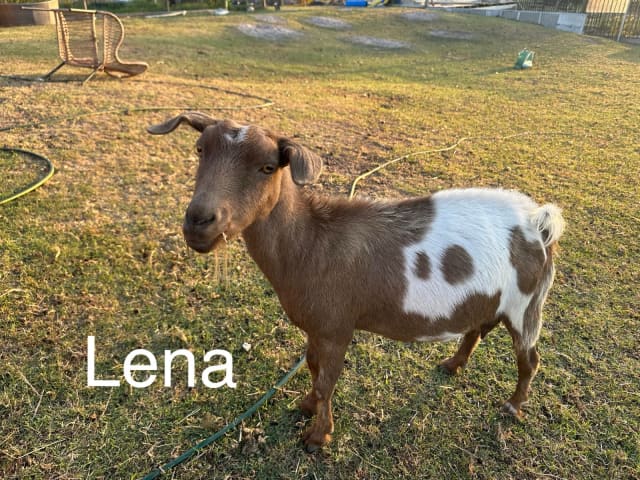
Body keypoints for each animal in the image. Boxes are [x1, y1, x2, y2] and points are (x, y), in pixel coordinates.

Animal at [148, 112, 566, 452]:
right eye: (200, 149)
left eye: (267, 167)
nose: (200, 221)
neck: (312, 244)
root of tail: (539, 221)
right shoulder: (317, 326)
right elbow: (313, 367)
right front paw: (305, 406)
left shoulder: (337, 327)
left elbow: (327, 380)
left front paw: (318, 437)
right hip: (492, 297)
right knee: (477, 328)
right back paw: (452, 364)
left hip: (527, 304)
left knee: (529, 358)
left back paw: (512, 405)